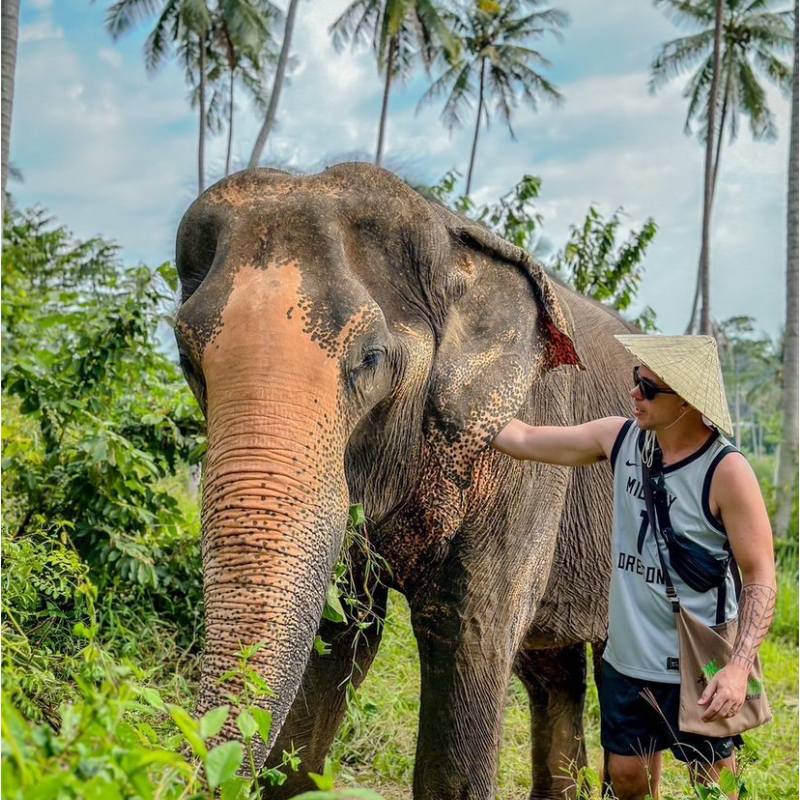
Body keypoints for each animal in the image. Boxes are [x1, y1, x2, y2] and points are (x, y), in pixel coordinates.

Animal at [174, 162, 637, 800]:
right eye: (185, 359)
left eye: (370, 358)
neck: (449, 238)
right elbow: (341, 631)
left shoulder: (531, 443)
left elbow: (468, 628)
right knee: (552, 674)